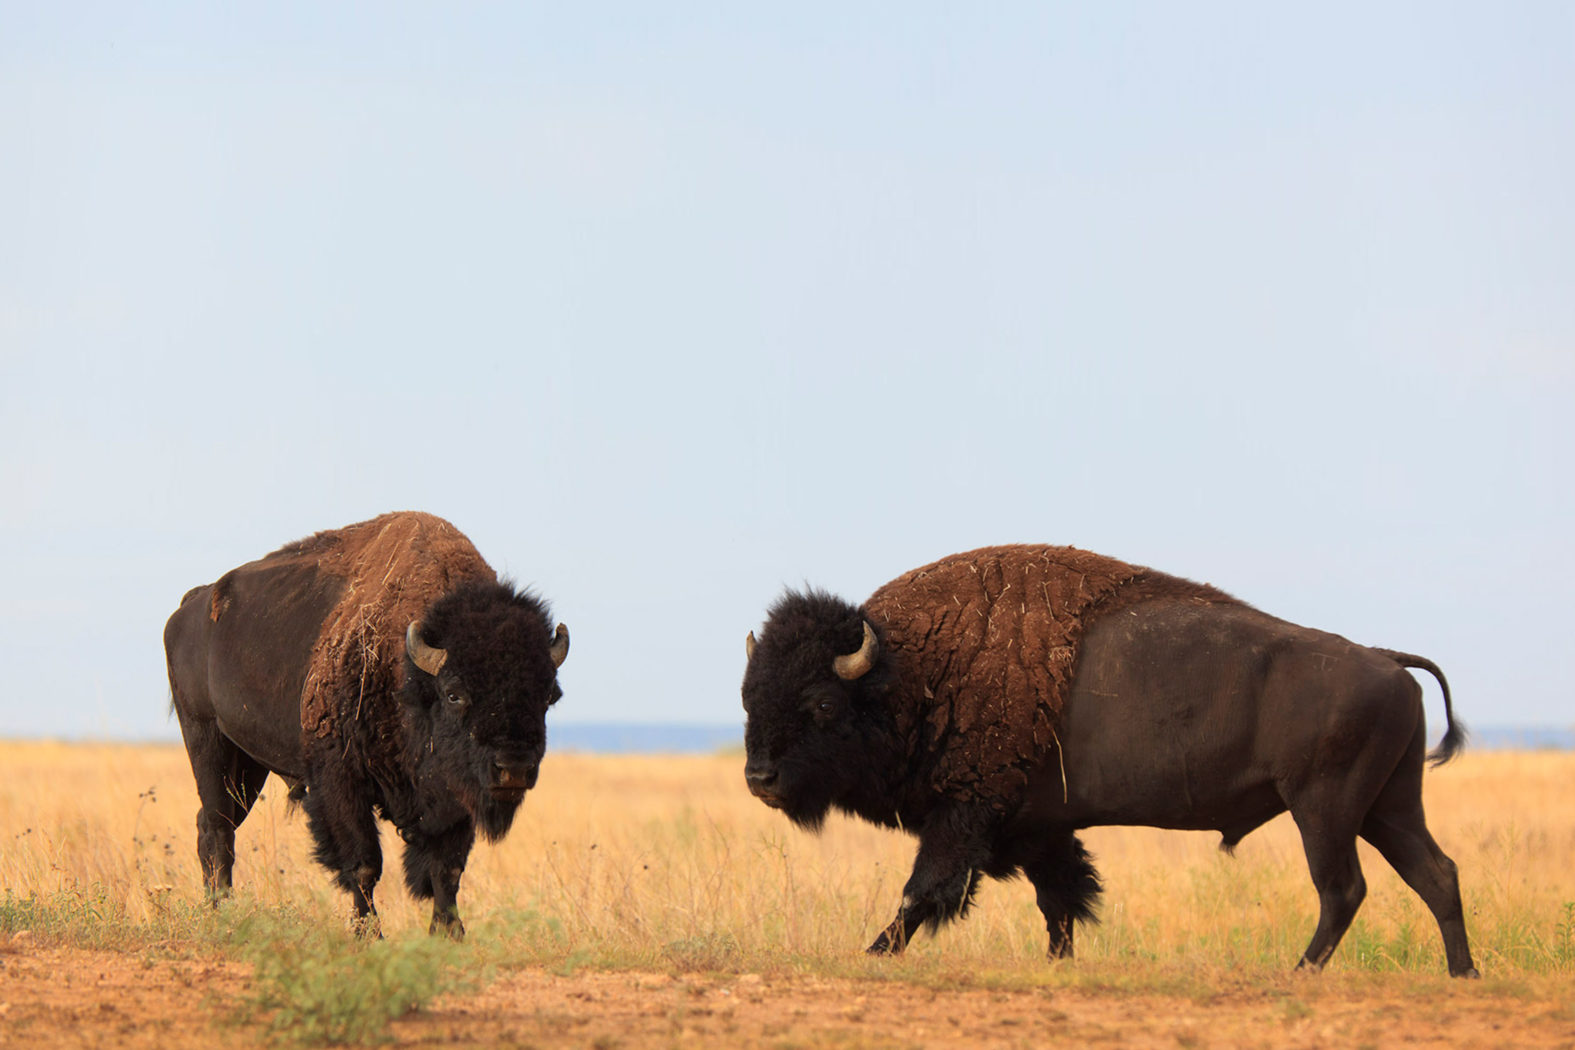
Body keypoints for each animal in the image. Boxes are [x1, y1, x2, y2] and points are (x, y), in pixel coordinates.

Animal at [165, 512, 568, 937]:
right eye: (454, 694)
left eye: (548, 696)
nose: (514, 769)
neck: (406, 670)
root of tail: (192, 604)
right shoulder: (341, 782)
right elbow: (364, 864)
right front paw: (368, 936)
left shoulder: (453, 798)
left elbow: (447, 869)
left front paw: (448, 934)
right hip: (207, 741)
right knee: (219, 828)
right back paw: (221, 910)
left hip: (248, 767)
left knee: (210, 824)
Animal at [741, 544, 1477, 976]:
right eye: (749, 694)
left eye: (821, 704)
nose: (760, 778)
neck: (913, 671)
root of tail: (1385, 660)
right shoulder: (1038, 829)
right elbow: (1060, 901)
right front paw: (1058, 964)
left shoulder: (964, 817)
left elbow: (924, 889)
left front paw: (872, 952)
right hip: (1388, 806)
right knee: (1435, 873)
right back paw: (1461, 972)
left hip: (1323, 809)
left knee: (1342, 888)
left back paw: (1300, 972)